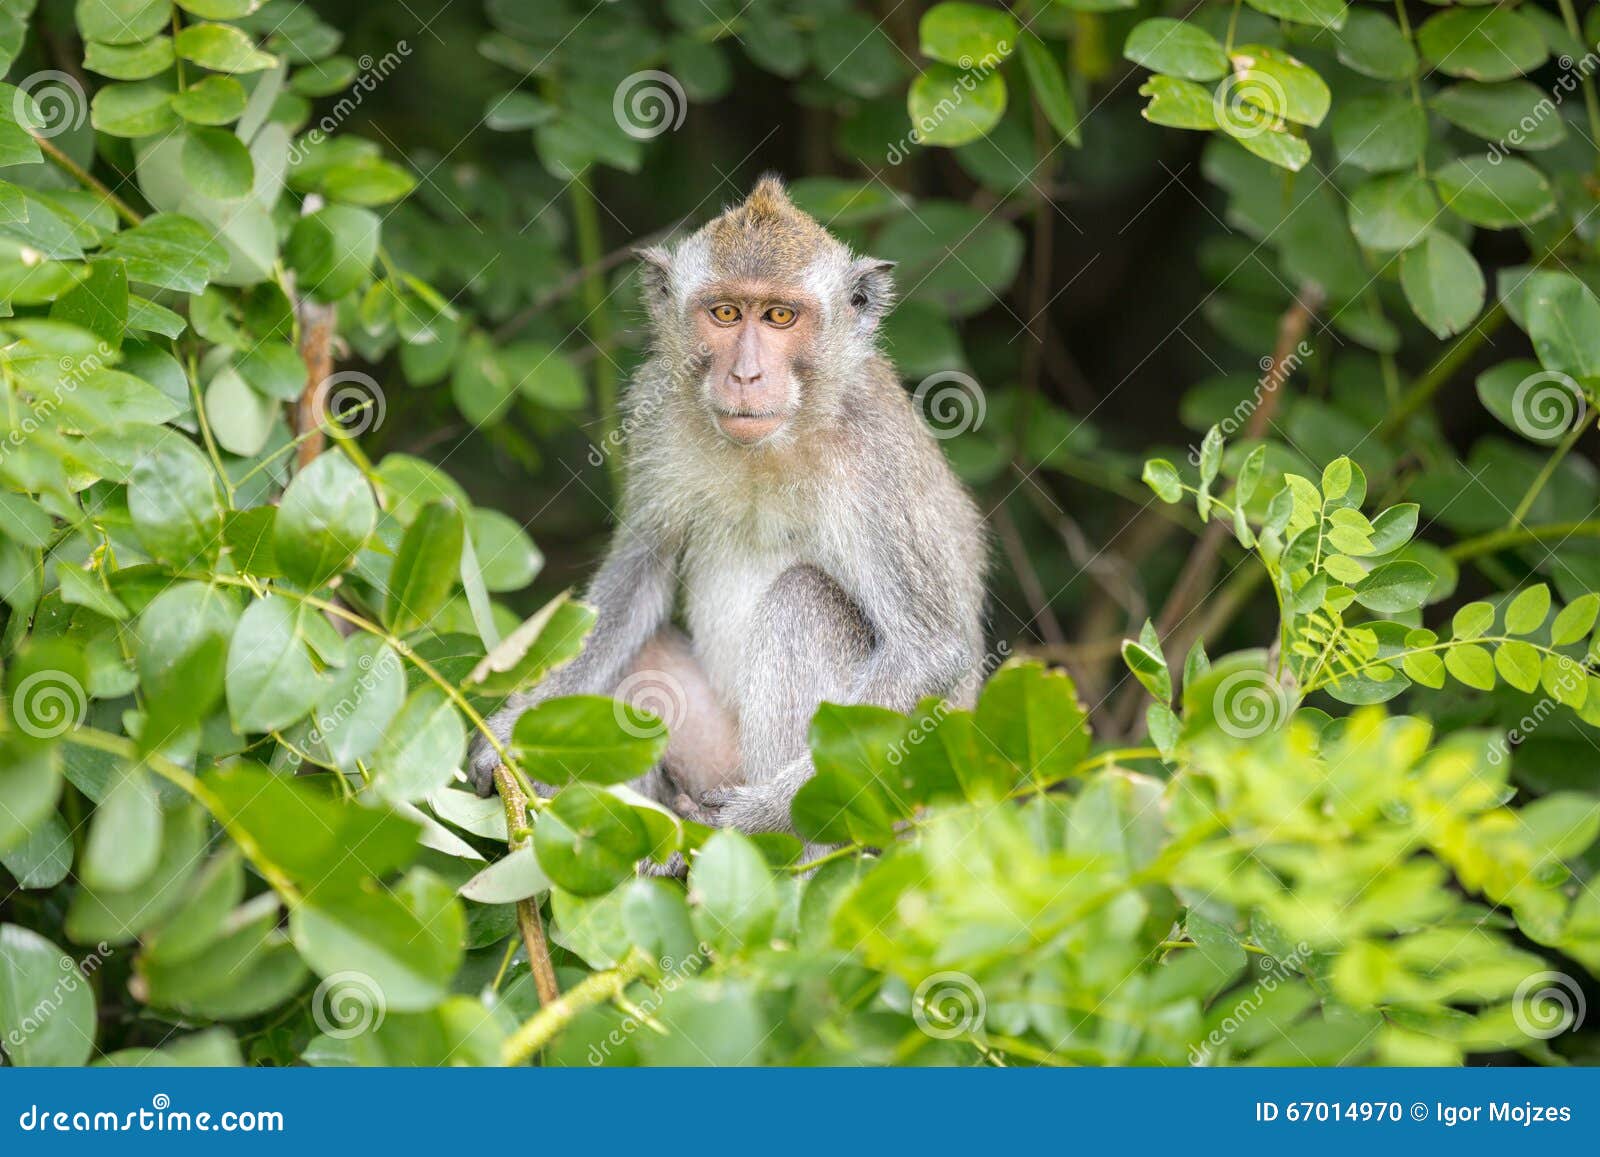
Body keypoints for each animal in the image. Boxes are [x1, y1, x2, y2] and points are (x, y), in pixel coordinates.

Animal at [467, 176, 987, 846]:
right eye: (725, 313)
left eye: (780, 316)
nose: (745, 374)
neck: (774, 444)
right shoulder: (656, 414)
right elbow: (638, 576)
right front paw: (511, 733)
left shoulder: (877, 461)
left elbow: (932, 649)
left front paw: (753, 818)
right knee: (647, 652)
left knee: (803, 599)